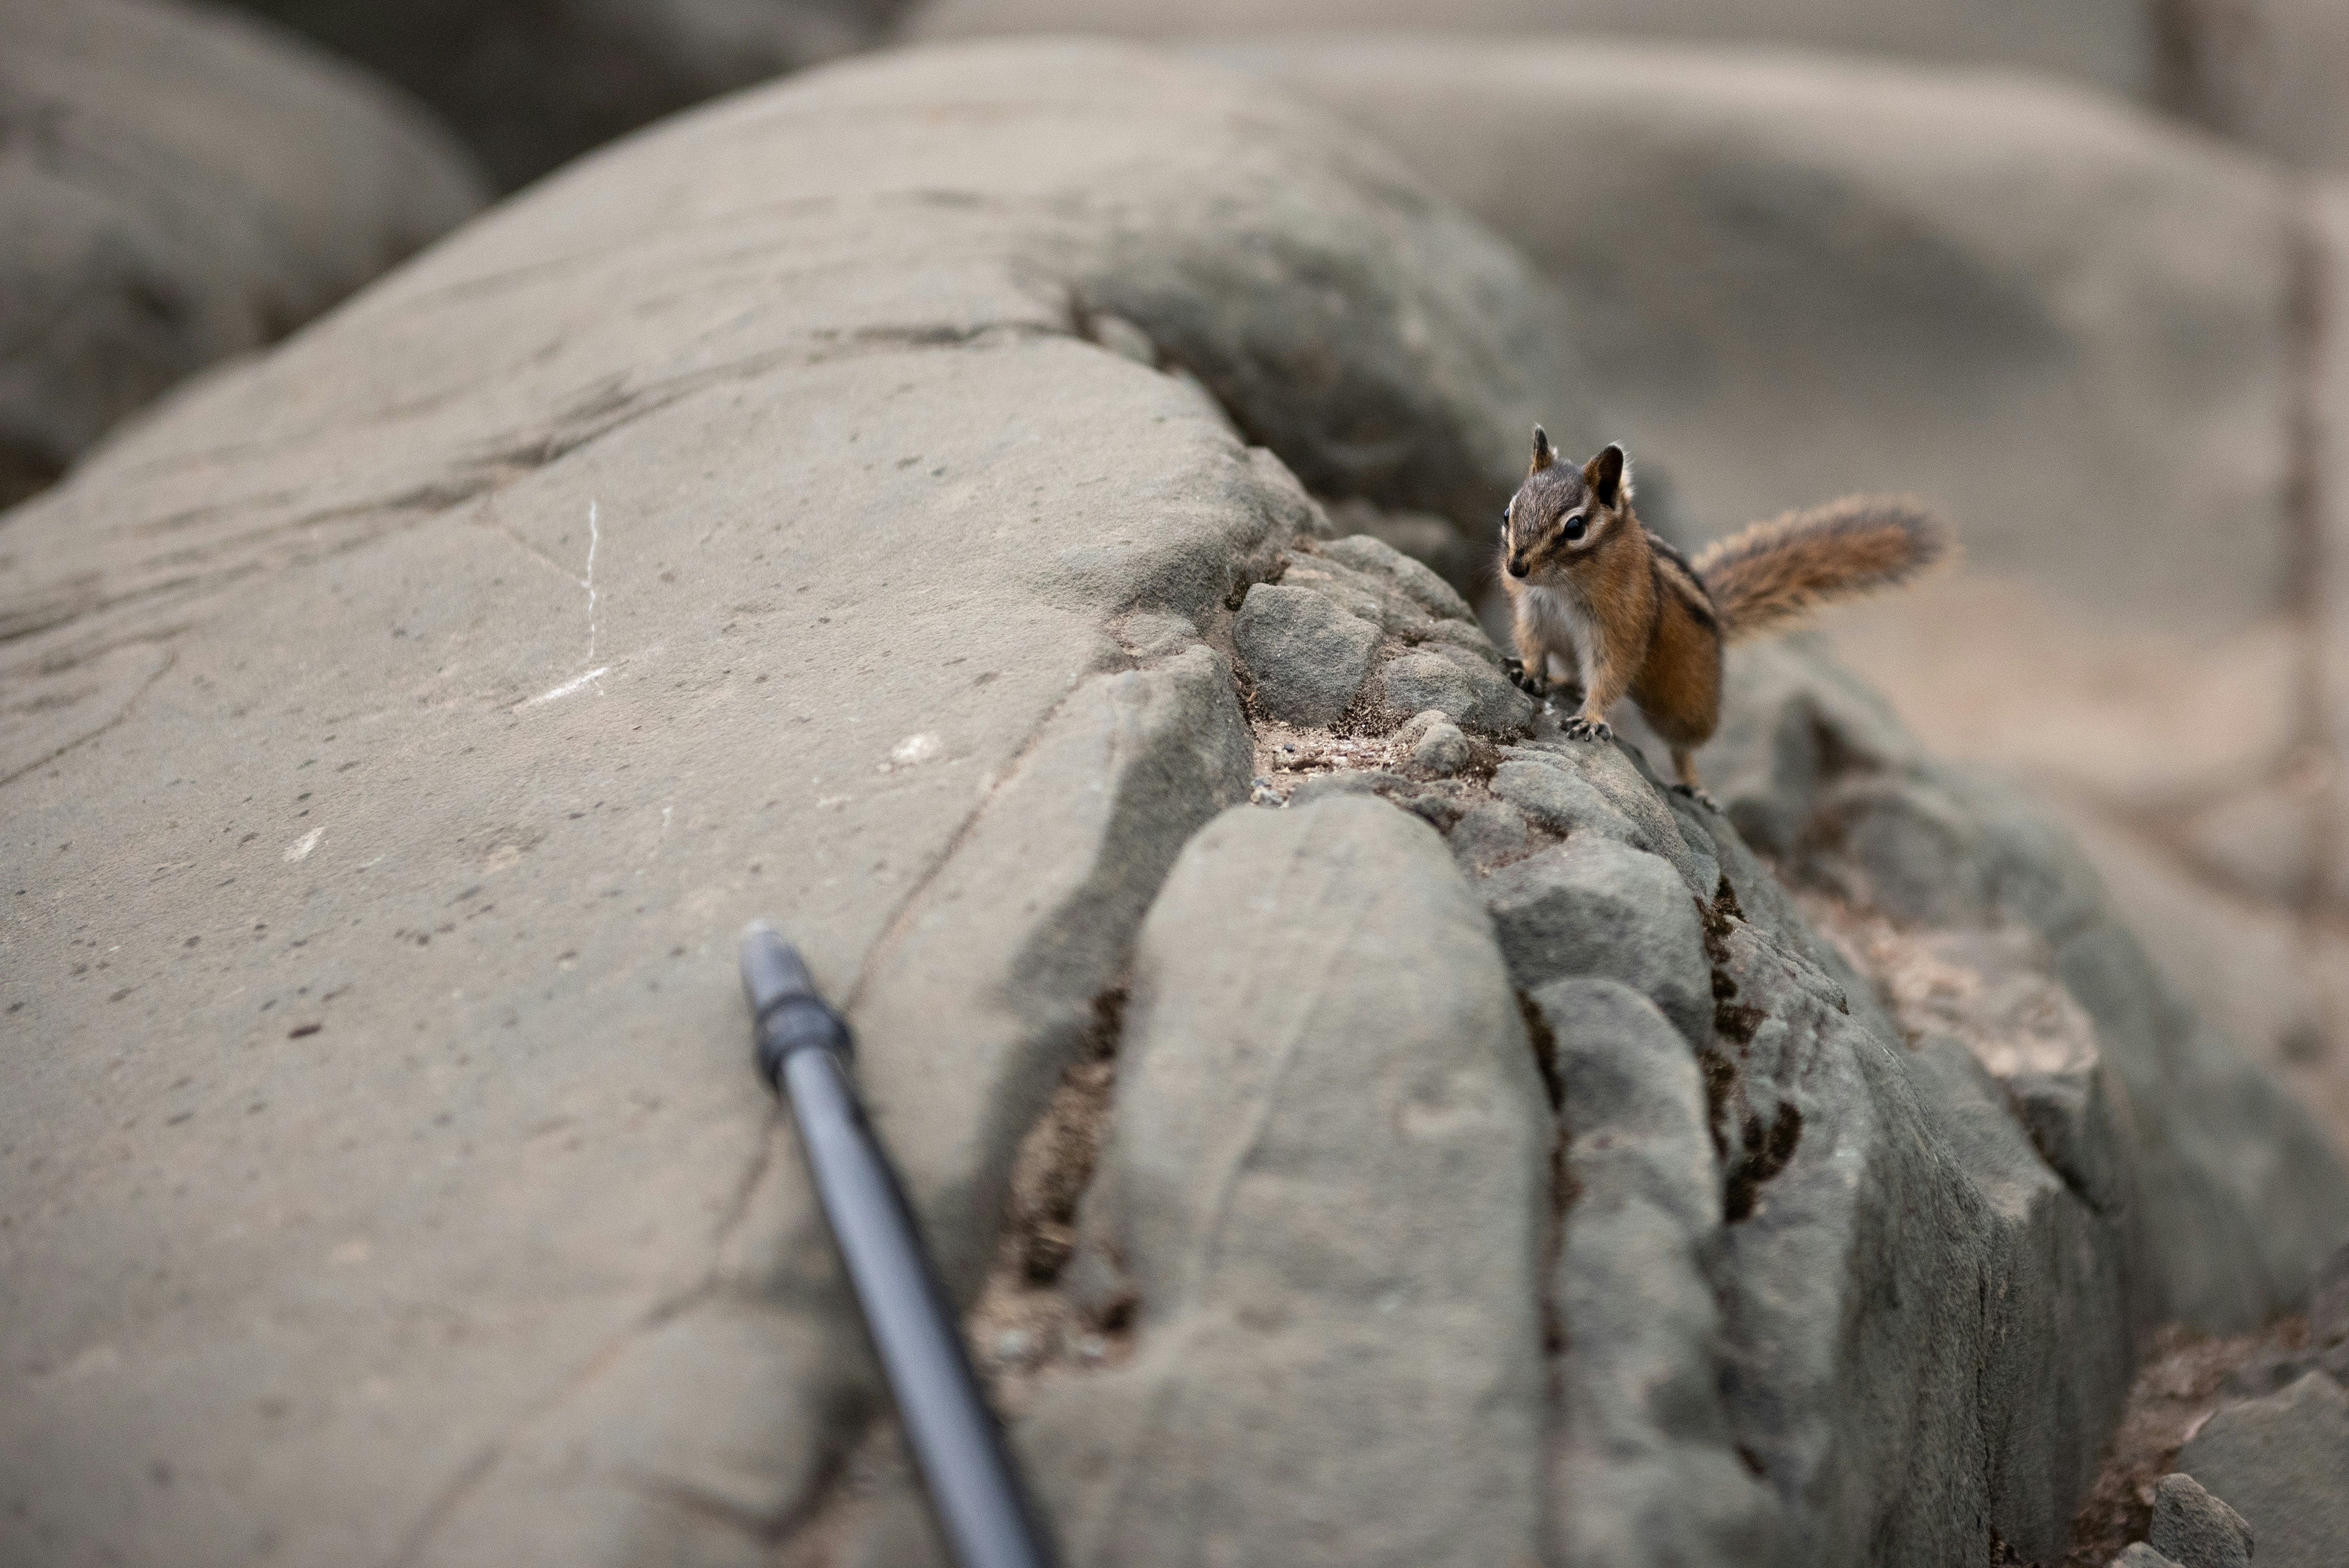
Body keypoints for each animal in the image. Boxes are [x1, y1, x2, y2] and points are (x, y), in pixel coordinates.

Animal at [1499, 427, 1948, 797]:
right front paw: (1529, 672)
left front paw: (1591, 717)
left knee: (1683, 743)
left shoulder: (1618, 629)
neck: (1559, 589)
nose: (1516, 567)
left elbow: (1609, 676)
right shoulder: (1531, 611)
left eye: (1575, 528)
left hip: (1686, 701)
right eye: (1508, 513)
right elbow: (1533, 645)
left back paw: (1694, 785)